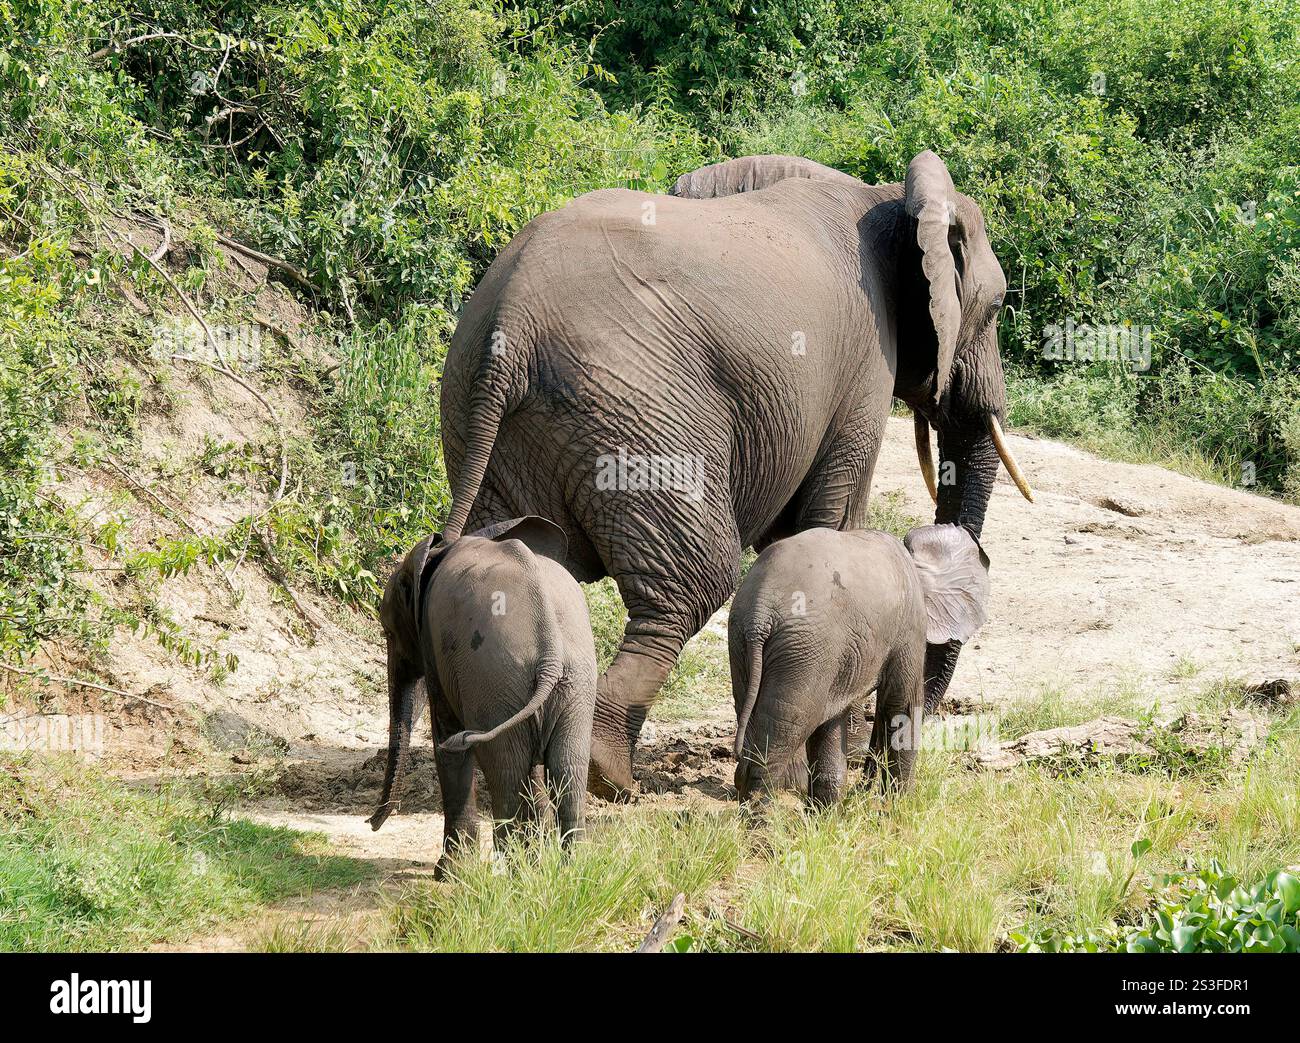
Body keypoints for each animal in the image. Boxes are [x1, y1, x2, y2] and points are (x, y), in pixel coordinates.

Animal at [368, 516, 596, 875]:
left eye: (388, 633)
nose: (370, 824)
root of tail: (550, 653)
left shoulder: (434, 642)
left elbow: (446, 736)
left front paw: (449, 873)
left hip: (495, 681)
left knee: (505, 771)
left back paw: (512, 874)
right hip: (571, 684)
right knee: (567, 768)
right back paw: (568, 872)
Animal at [730, 524, 989, 804]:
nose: (862, 788)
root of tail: (760, 615)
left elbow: (832, 722)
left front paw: (826, 813)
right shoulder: (909, 625)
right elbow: (902, 705)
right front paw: (899, 808)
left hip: (747, 639)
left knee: (753, 714)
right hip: (802, 649)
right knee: (784, 728)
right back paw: (761, 816)